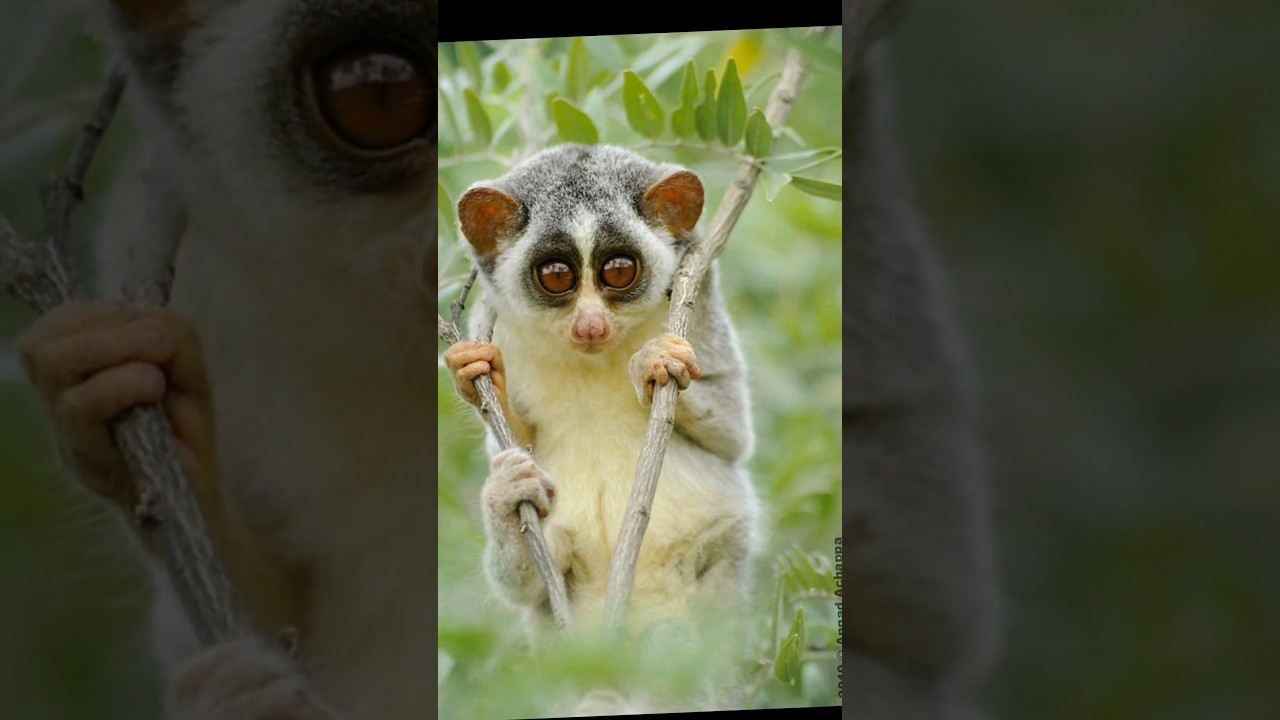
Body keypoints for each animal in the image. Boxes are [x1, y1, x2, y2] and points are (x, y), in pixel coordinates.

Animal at [442, 144, 762, 714]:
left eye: (618, 271)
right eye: (556, 276)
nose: (590, 325)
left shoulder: (700, 296)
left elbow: (732, 431)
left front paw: (657, 362)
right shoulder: (489, 317)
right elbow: (516, 435)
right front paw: (474, 372)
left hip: (720, 570)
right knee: (526, 581)